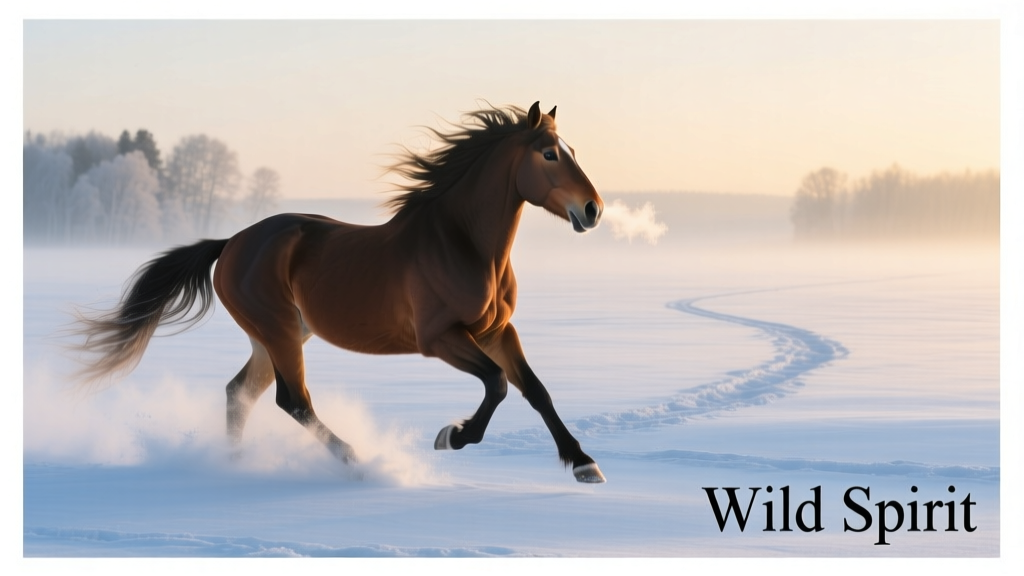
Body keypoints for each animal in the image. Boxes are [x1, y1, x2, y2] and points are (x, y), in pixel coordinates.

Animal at [73, 101, 607, 483]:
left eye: (575, 151)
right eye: (549, 154)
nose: (593, 209)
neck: (463, 244)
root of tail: (231, 244)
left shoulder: (497, 331)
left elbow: (535, 389)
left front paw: (584, 463)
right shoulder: (439, 338)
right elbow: (497, 384)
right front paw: (450, 436)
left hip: (277, 336)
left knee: (240, 392)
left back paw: (234, 464)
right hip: (279, 331)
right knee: (292, 400)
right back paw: (355, 460)